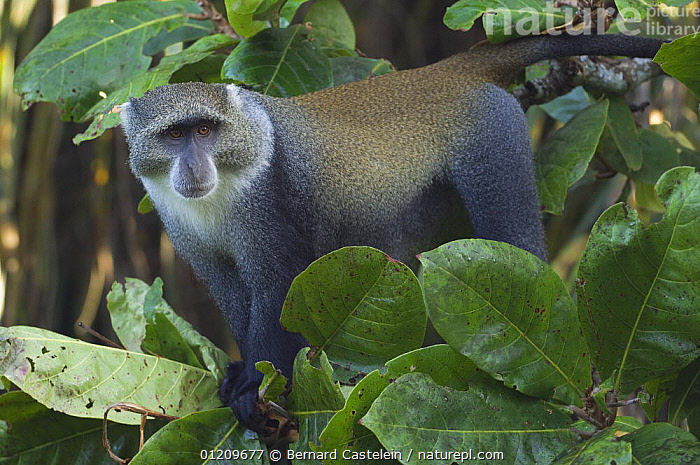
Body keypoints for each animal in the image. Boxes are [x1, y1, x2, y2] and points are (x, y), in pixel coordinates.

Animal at [120, 33, 664, 433]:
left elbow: (276, 283)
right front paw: (240, 375)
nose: (194, 166)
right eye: (174, 134)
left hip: (494, 136)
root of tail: (440, 73)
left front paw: (256, 387)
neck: (223, 189)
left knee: (514, 243)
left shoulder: (267, 202)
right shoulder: (183, 227)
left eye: (205, 131)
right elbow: (232, 292)